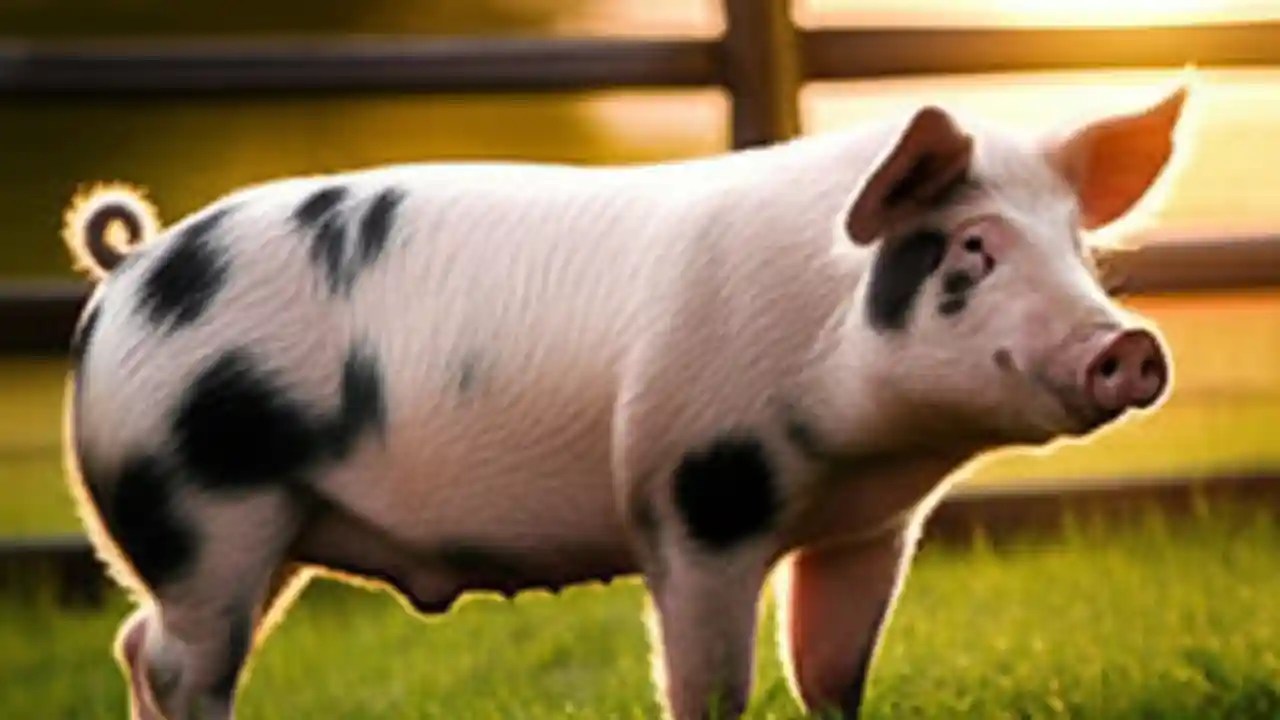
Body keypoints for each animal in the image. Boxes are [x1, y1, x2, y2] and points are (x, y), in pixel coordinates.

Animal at [62, 84, 1185, 720]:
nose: (1126, 345)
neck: (858, 443)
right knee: (179, 664)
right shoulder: (695, 499)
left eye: (1078, 248)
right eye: (971, 248)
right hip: (200, 510)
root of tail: (127, 273)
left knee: (137, 647)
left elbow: (832, 679)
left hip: (261, 531)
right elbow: (711, 690)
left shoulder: (866, 528)